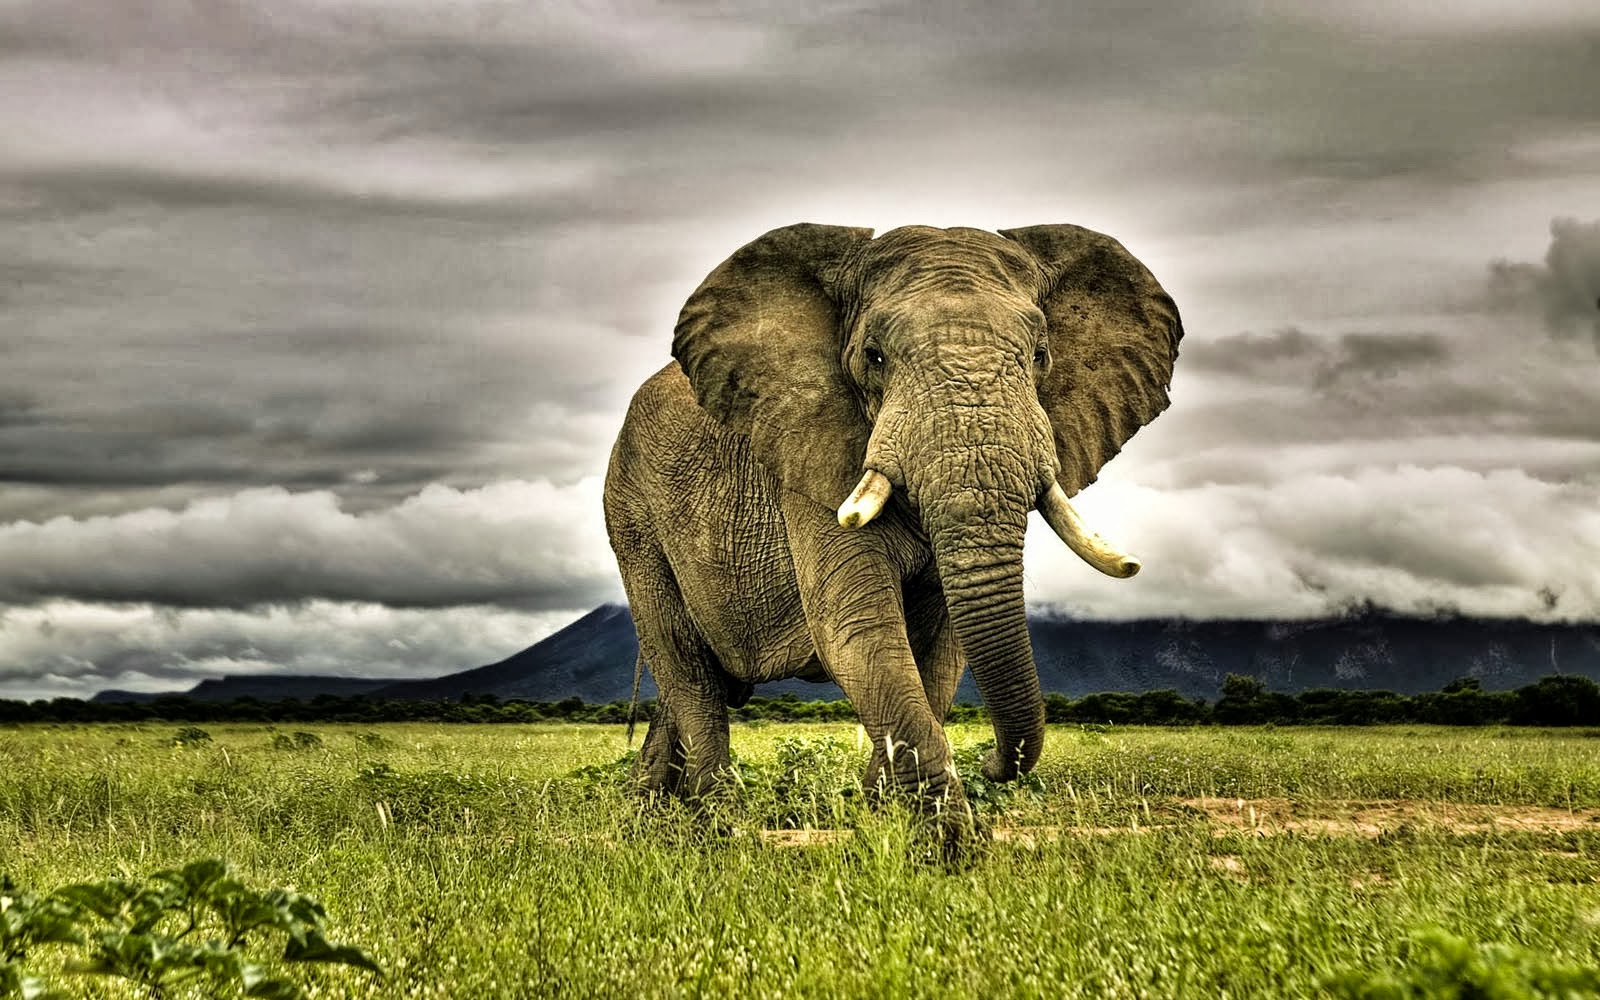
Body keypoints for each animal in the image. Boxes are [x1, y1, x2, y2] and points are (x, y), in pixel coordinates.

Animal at [603, 223, 1182, 839]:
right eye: (873, 357)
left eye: (1040, 355)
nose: (992, 762)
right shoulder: (811, 460)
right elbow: (860, 633)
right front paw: (949, 846)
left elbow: (941, 652)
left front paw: (881, 817)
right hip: (632, 515)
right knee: (687, 669)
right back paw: (719, 827)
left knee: (686, 684)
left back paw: (652, 815)